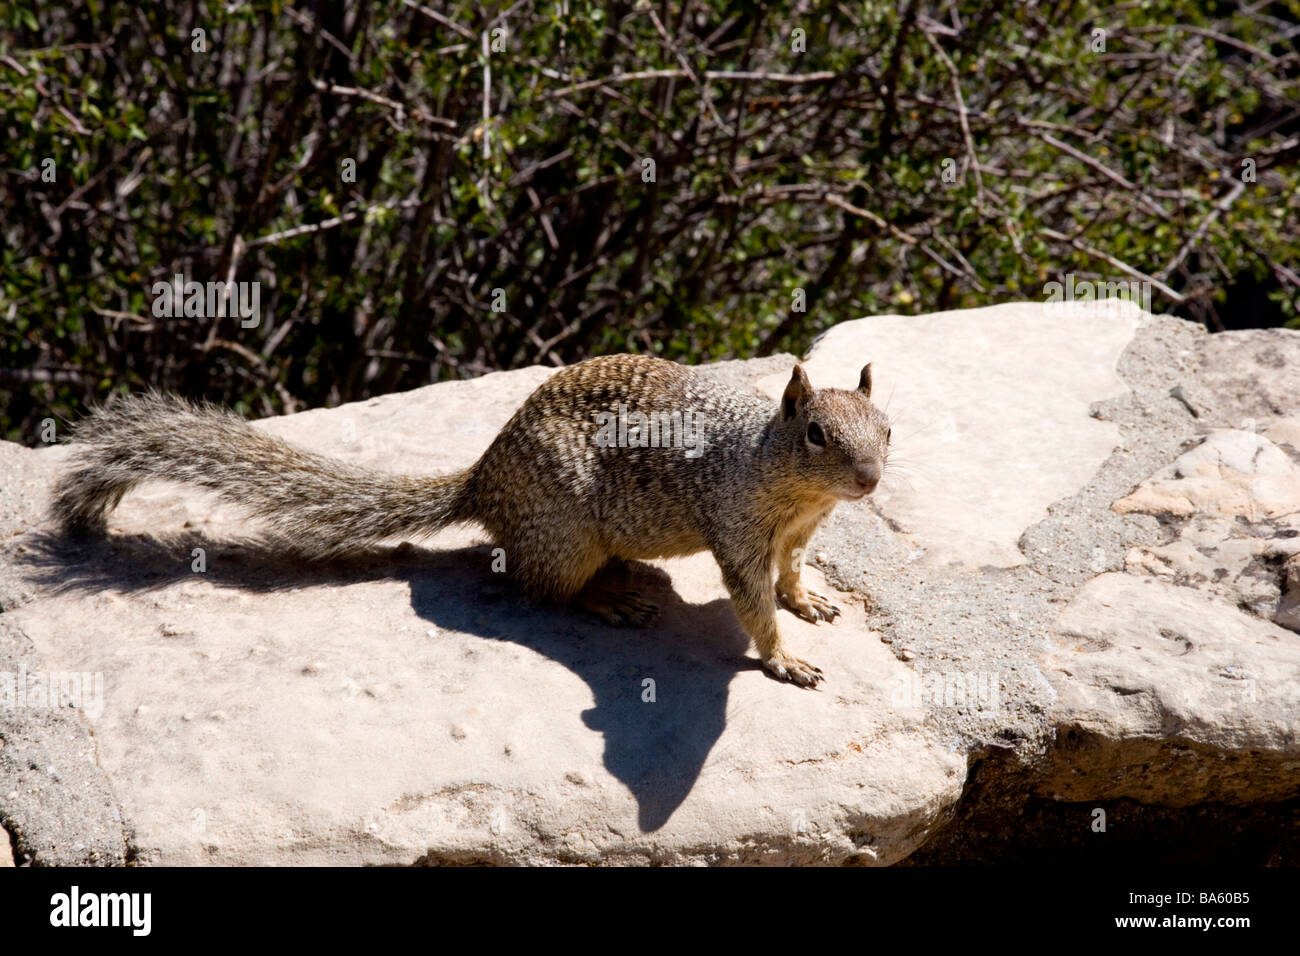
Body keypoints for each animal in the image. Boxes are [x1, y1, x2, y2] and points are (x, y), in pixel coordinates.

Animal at [52, 354, 890, 686]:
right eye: (816, 434)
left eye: (886, 425)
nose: (870, 479)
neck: (784, 481)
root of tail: (482, 485)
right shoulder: (738, 533)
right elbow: (752, 601)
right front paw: (785, 658)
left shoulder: (799, 532)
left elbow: (791, 574)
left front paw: (809, 601)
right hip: (566, 531)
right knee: (540, 585)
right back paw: (610, 597)